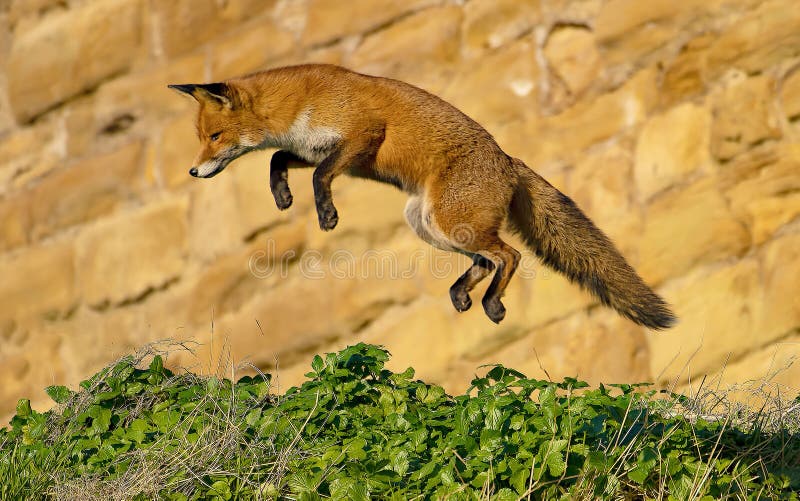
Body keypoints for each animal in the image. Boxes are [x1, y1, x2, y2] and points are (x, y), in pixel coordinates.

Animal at [169, 63, 676, 328]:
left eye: (214, 136)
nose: (192, 170)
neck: (301, 103)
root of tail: (508, 159)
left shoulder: (360, 136)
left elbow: (319, 178)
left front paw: (327, 214)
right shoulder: (316, 150)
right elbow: (277, 160)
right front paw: (281, 197)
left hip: (450, 221)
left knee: (509, 256)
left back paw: (490, 302)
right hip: (428, 223)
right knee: (487, 259)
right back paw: (464, 294)